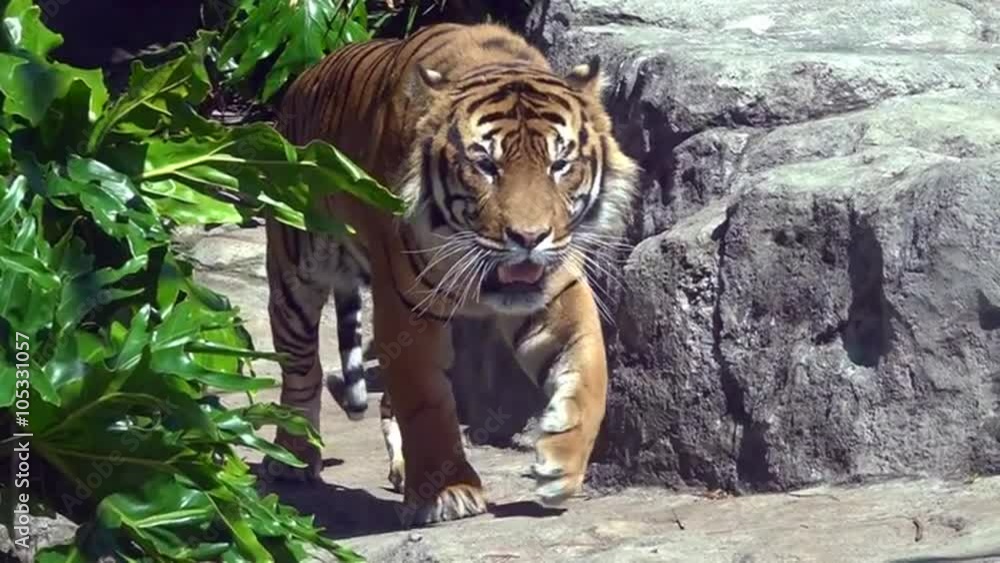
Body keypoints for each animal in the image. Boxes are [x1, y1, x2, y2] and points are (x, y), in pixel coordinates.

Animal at [262, 22, 638, 526]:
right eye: (486, 166)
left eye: (559, 165)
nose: (529, 236)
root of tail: (304, 77)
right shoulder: (406, 306)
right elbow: (426, 402)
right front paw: (449, 492)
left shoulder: (559, 290)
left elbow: (590, 373)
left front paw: (560, 466)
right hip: (294, 271)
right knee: (302, 368)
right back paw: (294, 458)